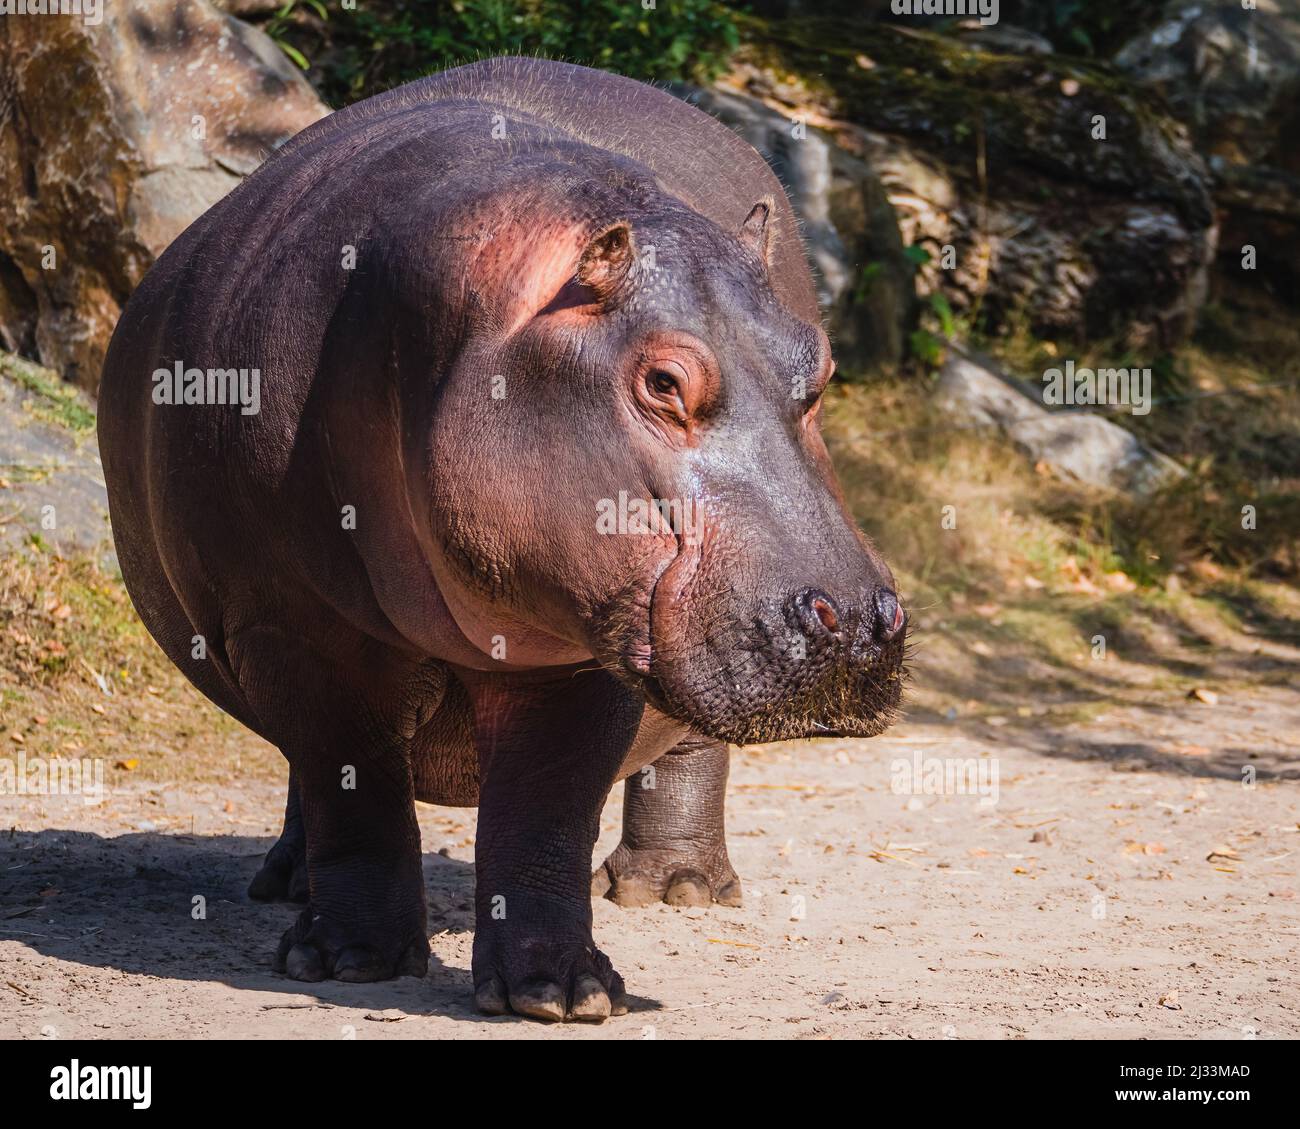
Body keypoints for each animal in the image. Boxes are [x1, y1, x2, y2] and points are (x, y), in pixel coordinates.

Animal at [97, 56, 907, 1023]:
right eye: (663, 381)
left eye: (819, 367)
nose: (857, 620)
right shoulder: (287, 625)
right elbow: (350, 782)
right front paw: (349, 962)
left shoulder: (580, 643)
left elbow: (544, 814)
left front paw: (563, 991)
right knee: (310, 769)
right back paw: (289, 885)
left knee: (693, 747)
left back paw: (675, 889)